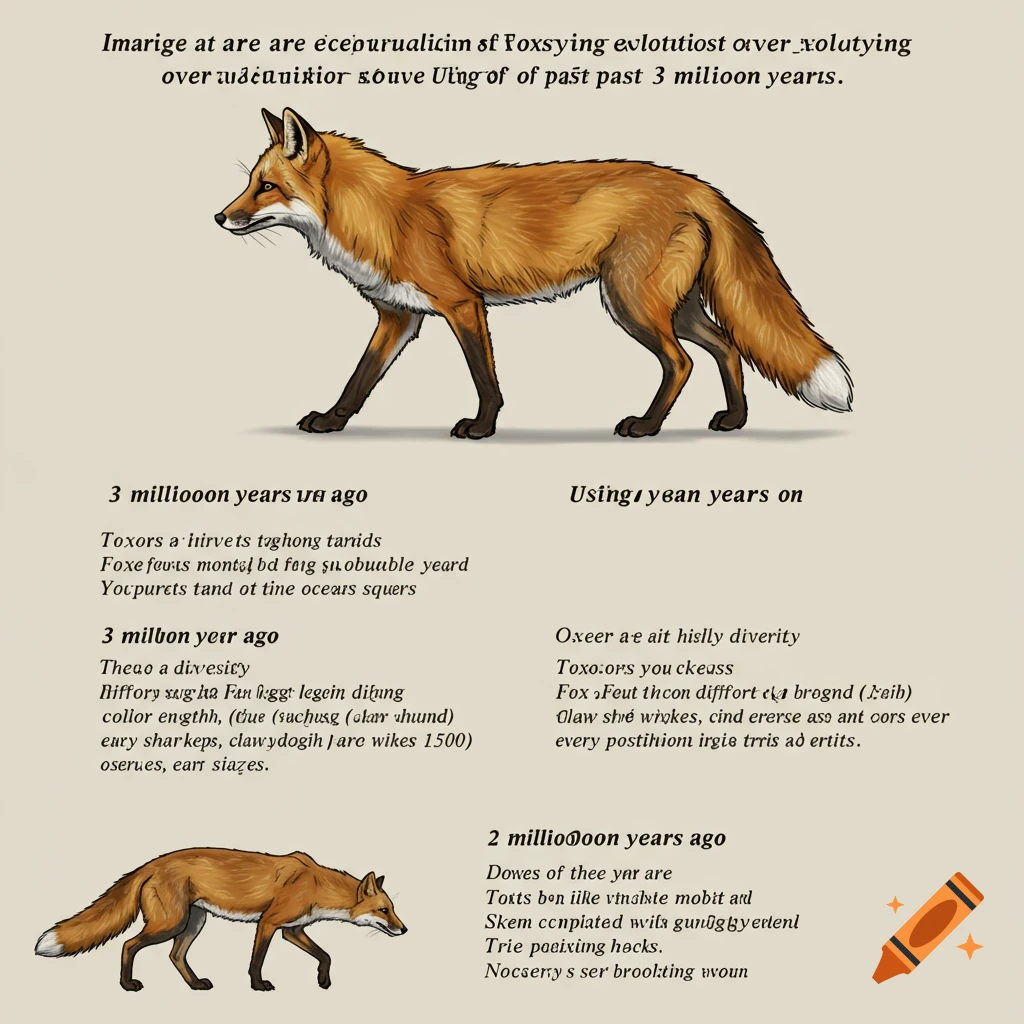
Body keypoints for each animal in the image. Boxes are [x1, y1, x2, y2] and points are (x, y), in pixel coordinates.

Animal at [34, 847, 406, 991]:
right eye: (384, 910)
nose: (404, 929)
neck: (315, 882)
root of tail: (151, 863)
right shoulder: (270, 922)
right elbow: (257, 961)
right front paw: (258, 986)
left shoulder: (293, 930)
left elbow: (325, 955)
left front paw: (323, 980)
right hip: (170, 923)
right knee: (128, 944)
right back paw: (127, 985)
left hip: (192, 923)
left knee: (175, 955)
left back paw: (196, 985)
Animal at [216, 108, 852, 439]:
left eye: (266, 186)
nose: (220, 217)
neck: (381, 214)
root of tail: (698, 184)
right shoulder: (398, 316)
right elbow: (358, 379)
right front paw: (332, 421)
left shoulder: (462, 304)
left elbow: (484, 378)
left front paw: (482, 427)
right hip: (675, 306)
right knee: (727, 348)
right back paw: (735, 419)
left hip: (631, 303)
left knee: (683, 362)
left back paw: (647, 426)